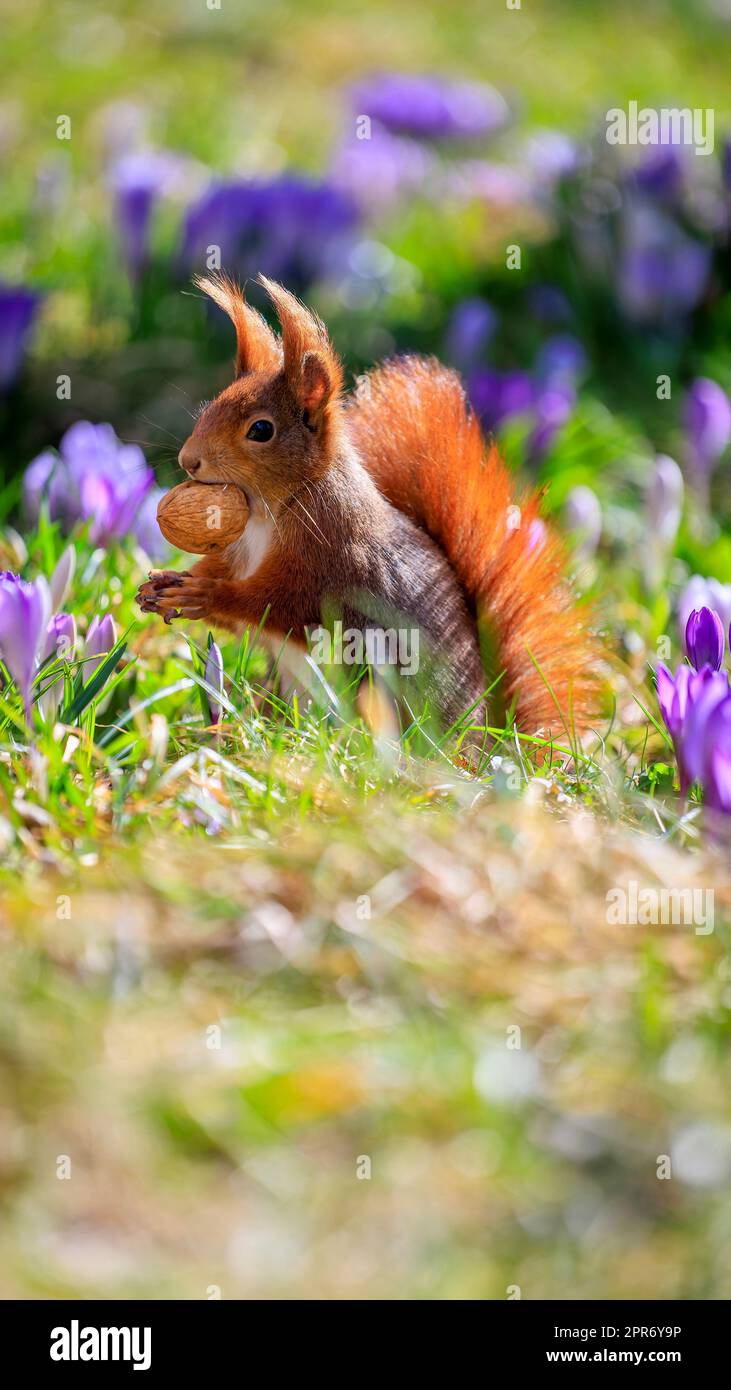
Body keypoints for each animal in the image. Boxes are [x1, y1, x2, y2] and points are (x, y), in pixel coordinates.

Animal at [138, 273, 597, 735]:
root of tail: (486, 739)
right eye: (208, 408)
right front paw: (163, 584)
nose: (188, 460)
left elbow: (278, 606)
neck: (267, 515)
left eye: (261, 430)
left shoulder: (331, 563)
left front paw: (207, 593)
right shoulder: (240, 552)